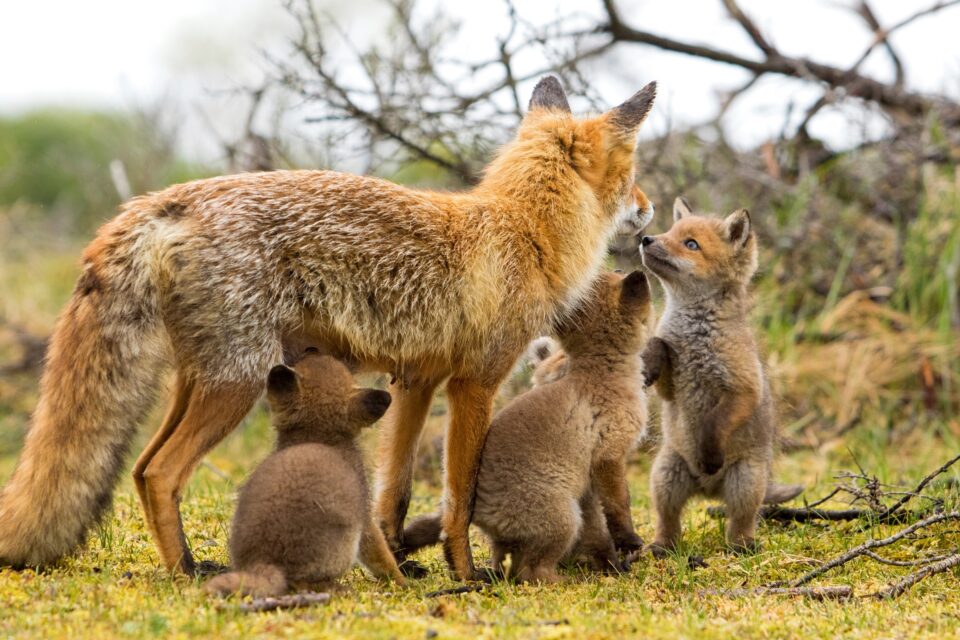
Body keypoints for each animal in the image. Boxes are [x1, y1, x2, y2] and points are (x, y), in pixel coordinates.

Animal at [204, 353, 401, 597]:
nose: (312, 349)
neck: (316, 437)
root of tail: (265, 561)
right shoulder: (365, 516)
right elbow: (382, 557)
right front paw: (404, 582)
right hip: (343, 546)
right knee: (302, 583)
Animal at [403, 271, 654, 582]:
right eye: (618, 274)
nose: (633, 270)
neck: (602, 372)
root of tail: (478, 513)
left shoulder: (588, 484)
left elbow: (600, 526)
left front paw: (613, 559)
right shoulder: (609, 455)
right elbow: (619, 506)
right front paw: (628, 542)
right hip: (563, 517)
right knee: (531, 572)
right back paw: (562, 581)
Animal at [639, 197, 802, 555]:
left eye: (691, 244)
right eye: (669, 231)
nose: (645, 239)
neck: (695, 335)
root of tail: (709, 492)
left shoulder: (743, 387)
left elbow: (715, 422)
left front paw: (710, 453)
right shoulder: (673, 389)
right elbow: (659, 343)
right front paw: (650, 362)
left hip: (745, 482)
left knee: (741, 521)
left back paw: (742, 546)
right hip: (665, 475)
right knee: (668, 520)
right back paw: (661, 546)